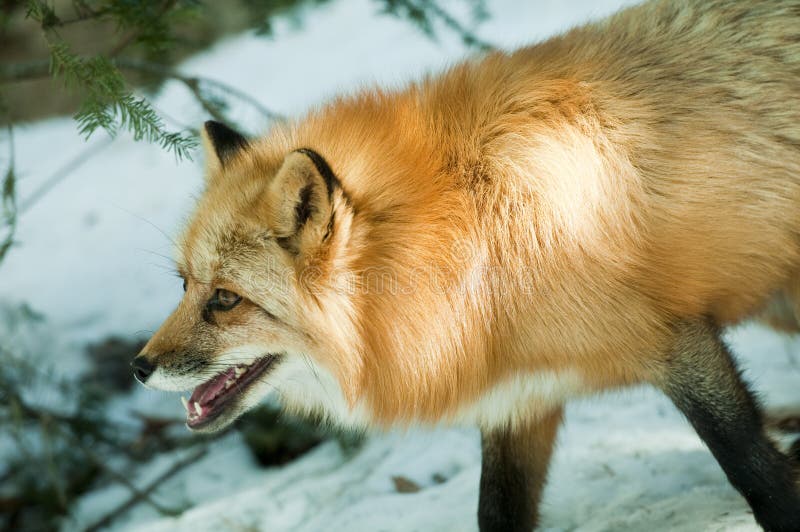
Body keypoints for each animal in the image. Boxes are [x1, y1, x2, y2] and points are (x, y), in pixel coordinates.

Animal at [133, 0, 800, 529]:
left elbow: (756, 470)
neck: (472, 243)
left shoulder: (675, 339)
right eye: (184, 285)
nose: (139, 368)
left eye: (225, 299)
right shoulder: (517, 399)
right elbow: (495, 513)